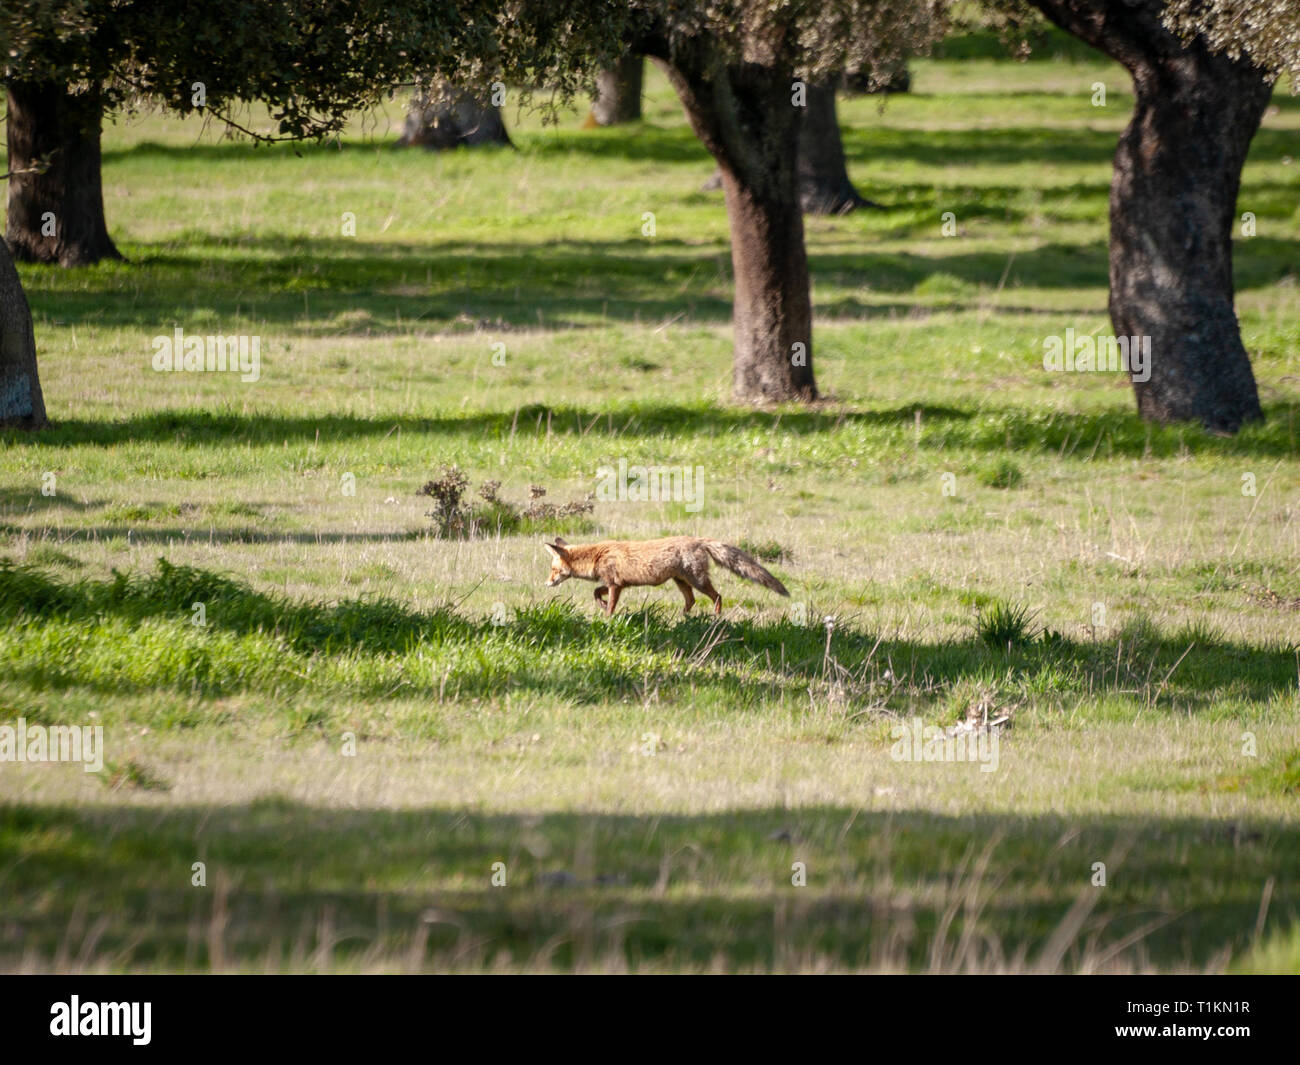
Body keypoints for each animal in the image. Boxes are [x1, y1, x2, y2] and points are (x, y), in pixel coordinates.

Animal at [542, 536, 789, 616]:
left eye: (554, 570)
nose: (546, 583)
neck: (597, 556)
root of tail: (698, 539)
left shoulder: (615, 584)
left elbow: (607, 601)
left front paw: (607, 615)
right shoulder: (617, 584)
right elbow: (595, 592)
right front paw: (602, 607)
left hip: (697, 581)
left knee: (717, 596)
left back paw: (716, 616)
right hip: (681, 582)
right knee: (691, 601)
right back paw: (684, 618)